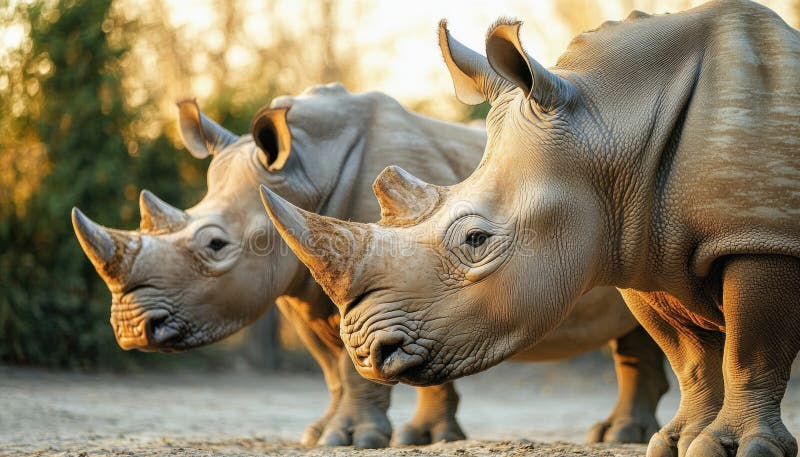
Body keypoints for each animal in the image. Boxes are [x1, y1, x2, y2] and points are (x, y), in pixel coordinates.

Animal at [72, 84, 665, 447]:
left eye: (215, 245)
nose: (130, 329)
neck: (306, 168)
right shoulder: (317, 285)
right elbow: (336, 367)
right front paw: (343, 436)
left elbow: (359, 365)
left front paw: (352, 440)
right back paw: (621, 434)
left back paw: (616, 438)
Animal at [260, 1, 800, 456]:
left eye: (476, 240)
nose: (366, 353)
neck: (612, 122)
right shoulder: (642, 245)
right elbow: (692, 357)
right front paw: (677, 444)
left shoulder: (764, 241)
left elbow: (750, 351)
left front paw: (737, 448)